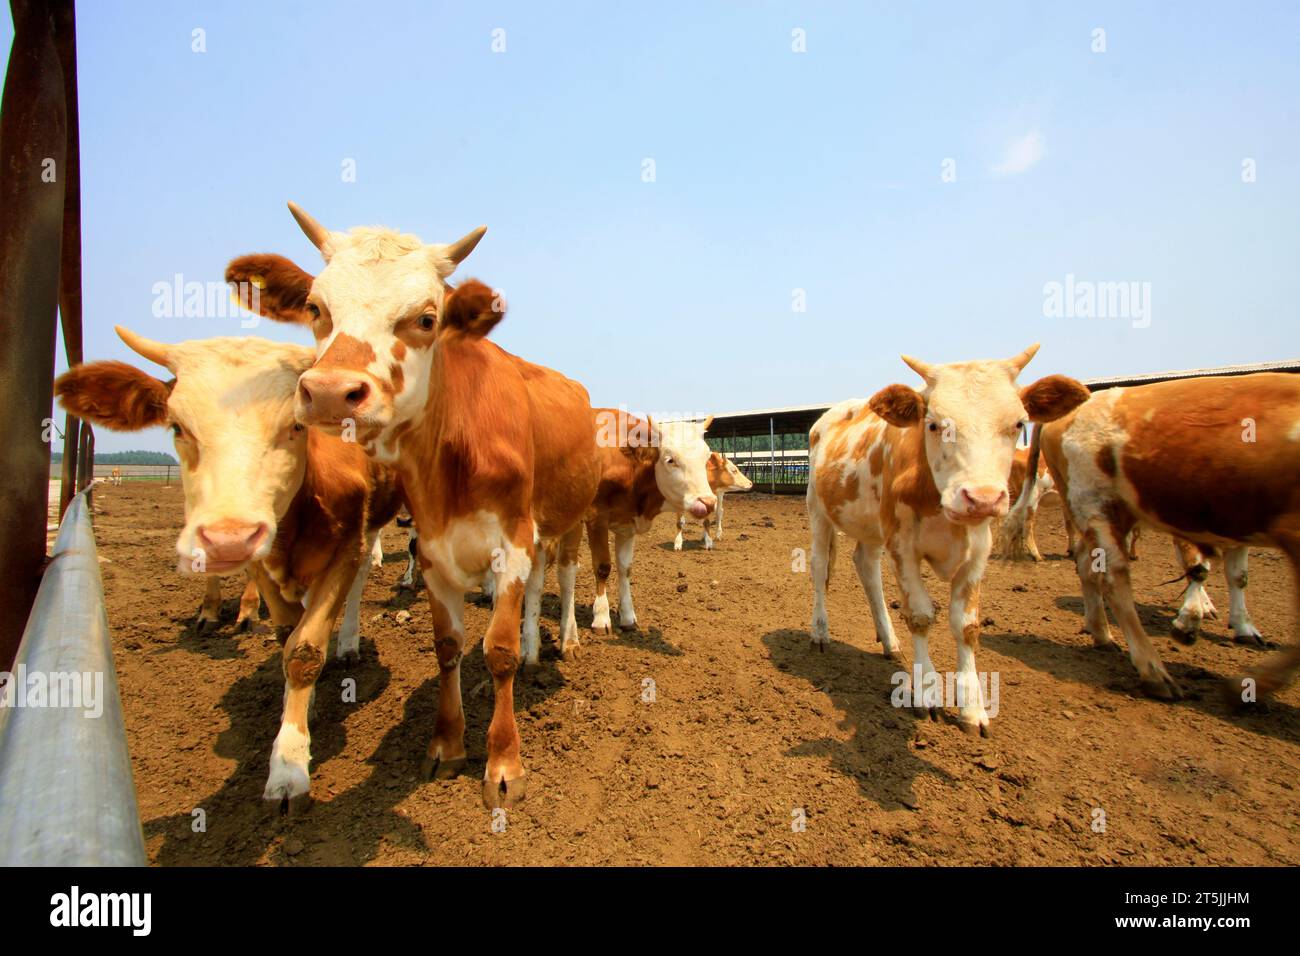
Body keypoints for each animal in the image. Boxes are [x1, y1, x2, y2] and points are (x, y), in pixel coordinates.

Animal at [55, 330, 402, 812]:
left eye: (295, 425)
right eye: (178, 427)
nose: (229, 538)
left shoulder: (347, 546)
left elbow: (305, 649)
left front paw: (289, 767)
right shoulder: (262, 560)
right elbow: (288, 637)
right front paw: (299, 714)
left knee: (357, 586)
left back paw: (347, 643)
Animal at [225, 204, 602, 809]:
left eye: (427, 318)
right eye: (315, 308)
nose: (329, 392)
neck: (454, 451)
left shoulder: (511, 542)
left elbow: (494, 649)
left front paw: (503, 764)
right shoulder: (433, 549)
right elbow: (447, 645)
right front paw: (447, 745)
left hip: (568, 517)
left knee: (564, 577)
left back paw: (565, 639)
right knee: (540, 583)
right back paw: (532, 652)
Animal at [585, 410, 717, 634]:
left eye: (706, 457)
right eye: (670, 460)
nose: (707, 503)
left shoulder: (627, 525)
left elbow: (625, 568)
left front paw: (628, 616)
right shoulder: (596, 519)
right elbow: (603, 567)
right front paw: (601, 617)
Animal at [807, 345, 1089, 735]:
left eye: (1019, 423)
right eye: (934, 423)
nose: (983, 498)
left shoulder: (978, 550)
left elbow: (965, 624)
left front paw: (973, 709)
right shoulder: (903, 546)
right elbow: (921, 616)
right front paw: (926, 695)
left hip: (873, 527)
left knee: (867, 566)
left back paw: (889, 639)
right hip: (819, 510)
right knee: (820, 568)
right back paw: (820, 632)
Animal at [1029, 374, 1295, 701]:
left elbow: (1238, 576)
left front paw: (1243, 627)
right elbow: (1199, 569)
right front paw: (1189, 623)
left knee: (1087, 562)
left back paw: (1102, 632)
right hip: (1095, 505)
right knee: (1112, 578)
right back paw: (1153, 670)